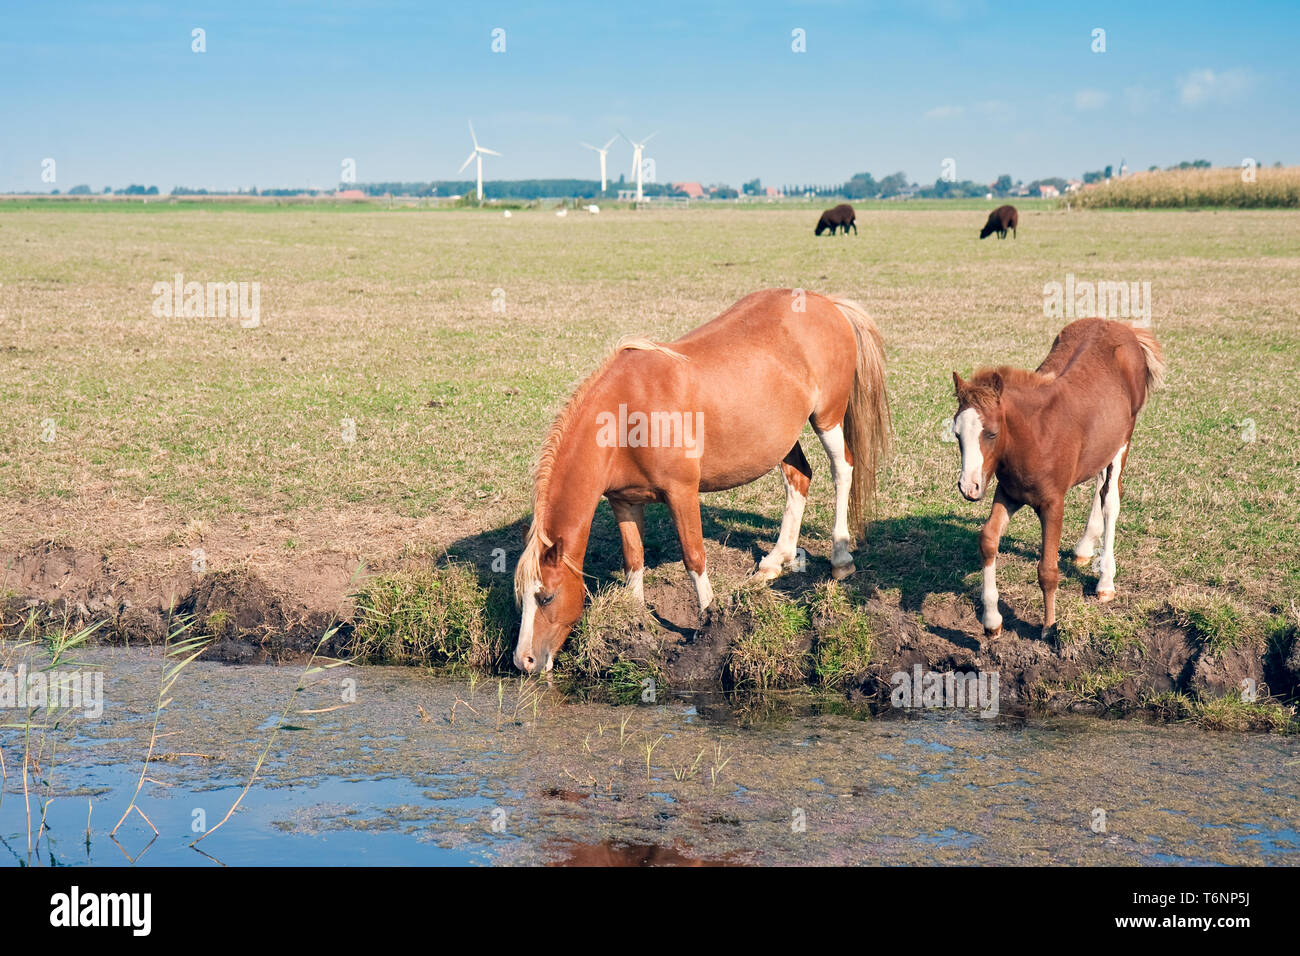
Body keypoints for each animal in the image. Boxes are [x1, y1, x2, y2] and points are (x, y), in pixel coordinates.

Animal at [512, 289, 892, 674]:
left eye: (547, 597)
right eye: (521, 599)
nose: (523, 661)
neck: (624, 416)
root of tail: (825, 302)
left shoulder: (681, 493)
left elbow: (694, 557)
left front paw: (710, 619)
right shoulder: (624, 500)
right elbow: (634, 558)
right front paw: (633, 622)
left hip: (827, 416)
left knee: (842, 470)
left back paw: (840, 558)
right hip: (781, 437)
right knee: (799, 477)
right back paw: (775, 561)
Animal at [951, 318, 1164, 639]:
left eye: (992, 433)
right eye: (957, 434)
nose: (970, 487)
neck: (1035, 435)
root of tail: (1122, 327)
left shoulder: (1053, 504)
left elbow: (1047, 569)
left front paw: (1049, 626)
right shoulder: (1009, 493)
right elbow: (988, 539)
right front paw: (991, 621)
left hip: (1123, 438)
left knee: (1111, 499)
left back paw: (1105, 582)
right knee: (1099, 483)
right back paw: (1085, 547)